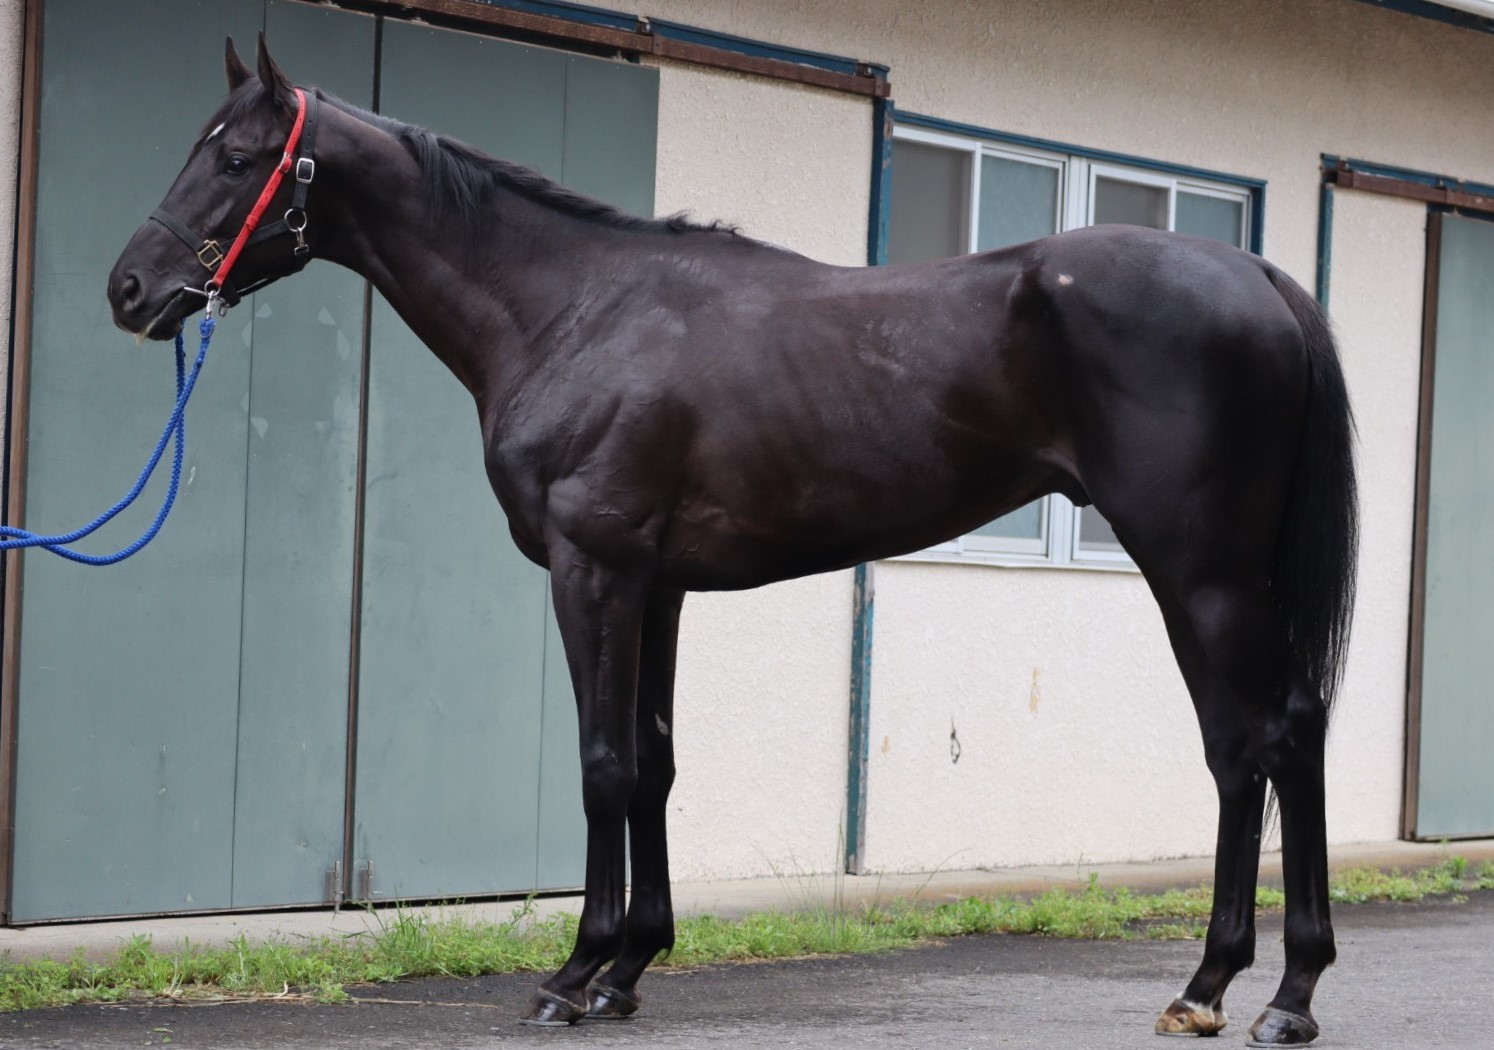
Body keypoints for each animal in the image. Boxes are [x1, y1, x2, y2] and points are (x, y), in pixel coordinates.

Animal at [107, 36, 1357, 1045]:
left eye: (235, 158)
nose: (129, 288)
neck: (573, 310)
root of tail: (1262, 278)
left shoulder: (594, 571)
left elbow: (603, 765)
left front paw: (570, 977)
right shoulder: (657, 588)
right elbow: (655, 763)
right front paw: (628, 972)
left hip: (1199, 572)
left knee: (1261, 743)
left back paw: (1262, 994)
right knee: (1265, 744)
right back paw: (1238, 990)